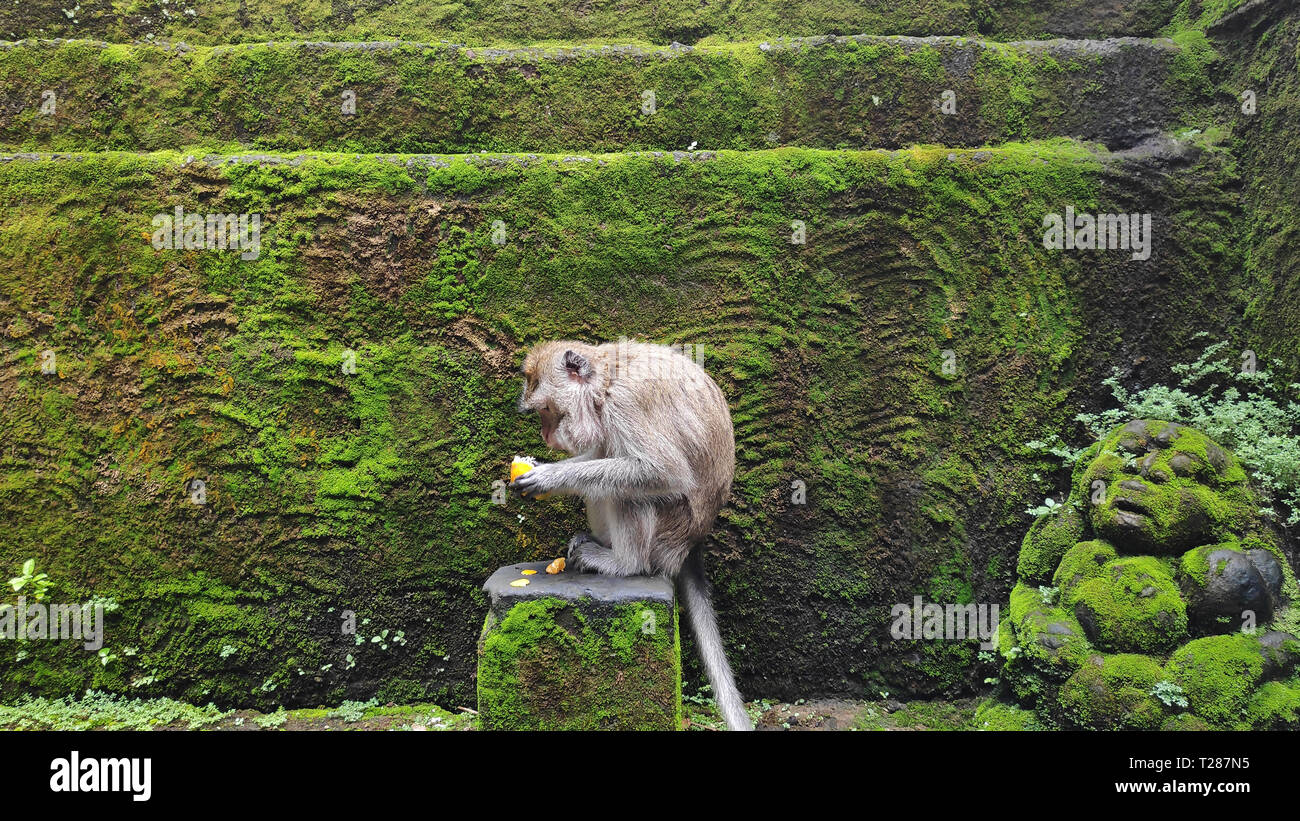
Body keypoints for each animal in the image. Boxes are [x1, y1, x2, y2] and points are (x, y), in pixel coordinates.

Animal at [512, 338, 753, 731]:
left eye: (547, 410)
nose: (546, 437)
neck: (606, 381)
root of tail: (694, 542)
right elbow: (597, 451)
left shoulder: (625, 405)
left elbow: (661, 471)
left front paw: (550, 477)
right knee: (607, 457)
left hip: (669, 531)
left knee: (631, 491)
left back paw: (623, 563)